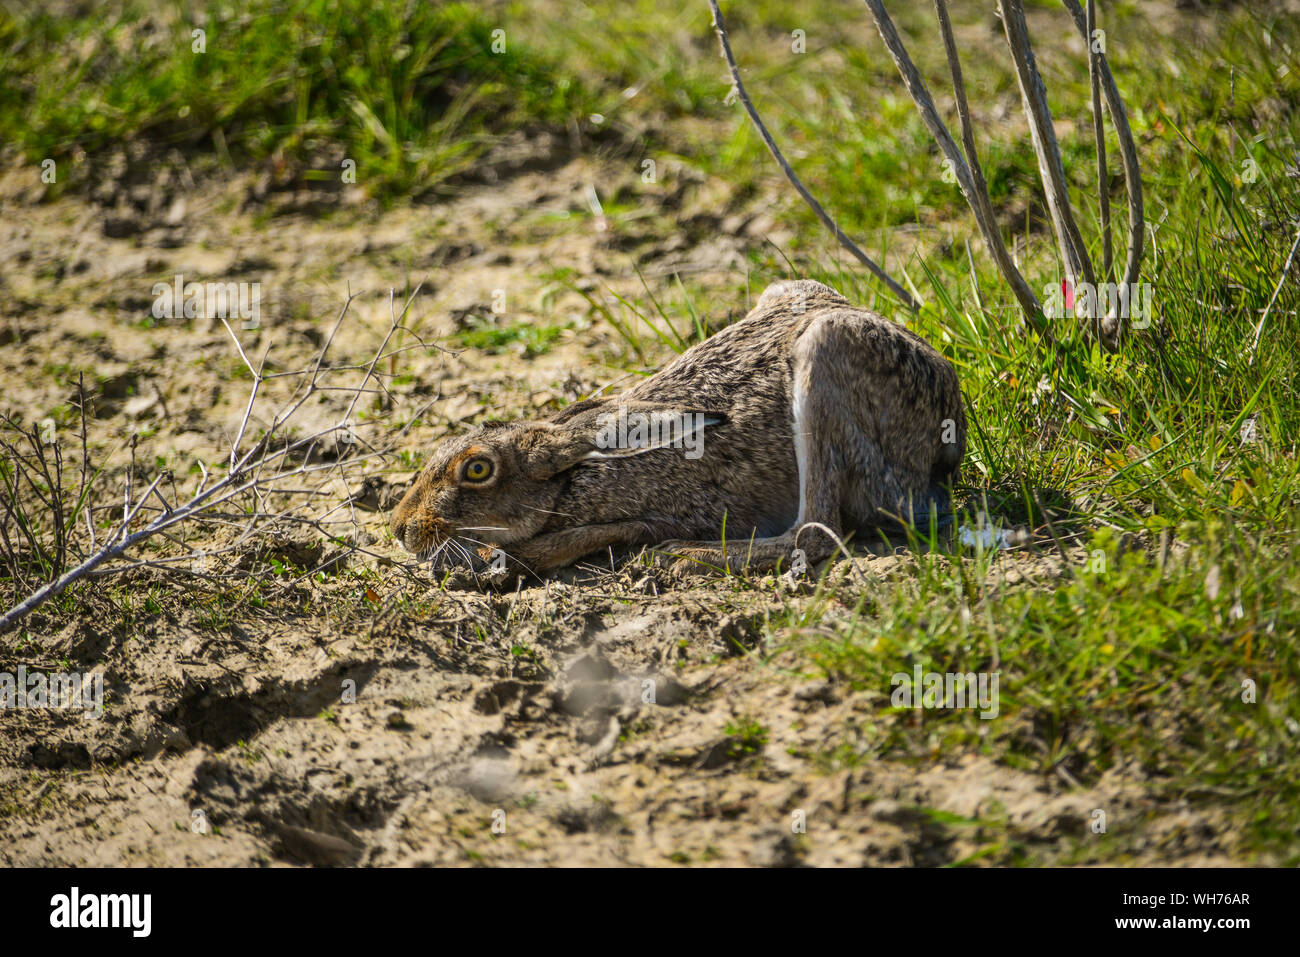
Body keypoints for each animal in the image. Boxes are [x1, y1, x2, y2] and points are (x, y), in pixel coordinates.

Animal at [390, 279, 965, 576]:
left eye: (477, 470)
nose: (400, 528)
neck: (571, 481)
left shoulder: (672, 511)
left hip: (827, 353)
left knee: (817, 530)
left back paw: (689, 557)